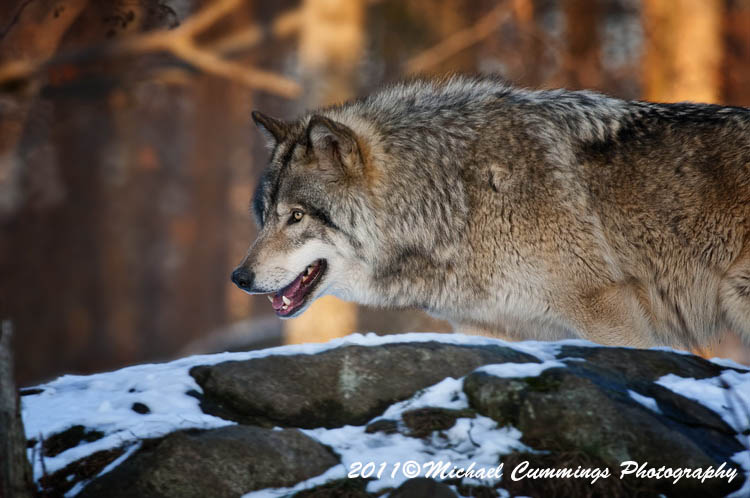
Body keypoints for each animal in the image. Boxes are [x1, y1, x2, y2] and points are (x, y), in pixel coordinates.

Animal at [231, 75, 750, 350]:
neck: (456, 199)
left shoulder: (610, 316)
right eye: (266, 216)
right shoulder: (488, 331)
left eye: (297, 216)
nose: (239, 277)